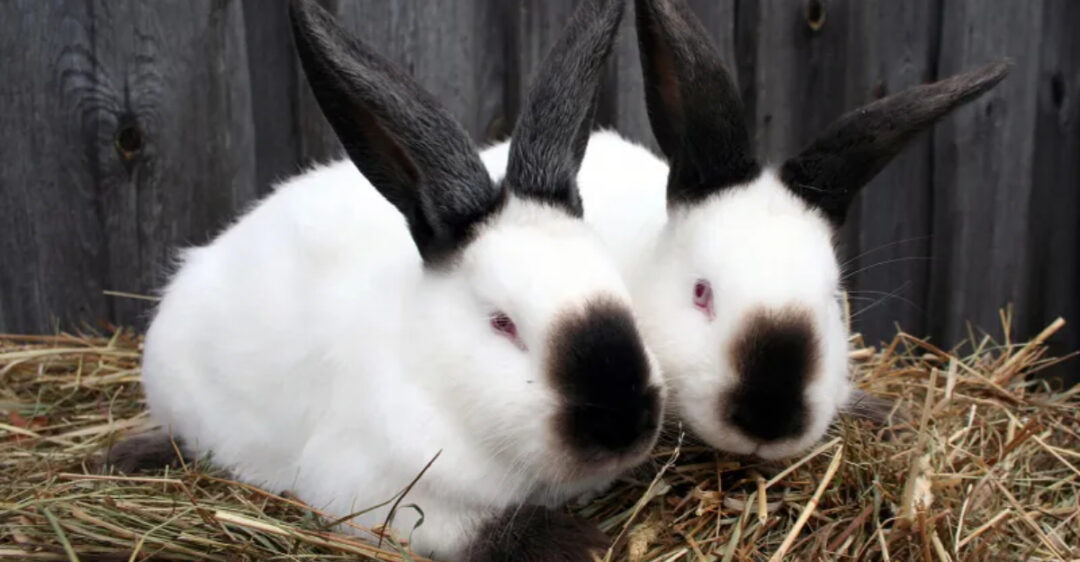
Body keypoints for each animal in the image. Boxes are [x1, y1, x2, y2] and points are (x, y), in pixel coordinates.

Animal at [131, 0, 665, 559]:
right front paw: (576, 542)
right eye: (502, 323)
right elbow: (471, 527)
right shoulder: (376, 490)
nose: (625, 422)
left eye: (622, 294)